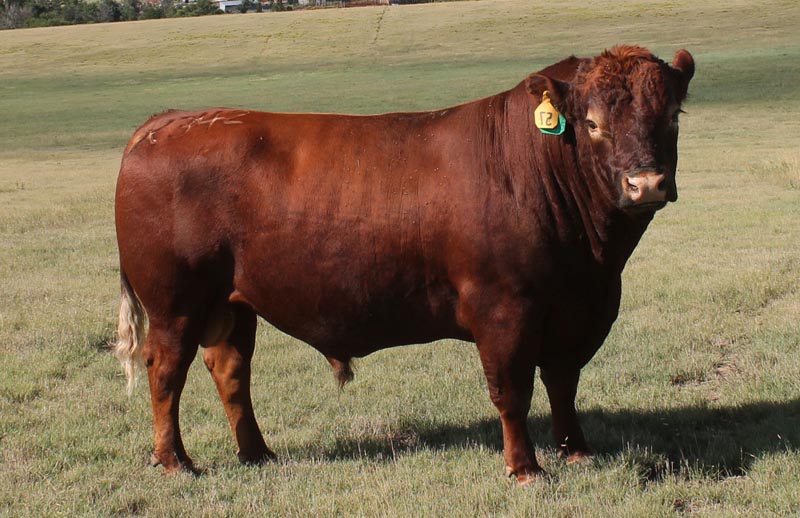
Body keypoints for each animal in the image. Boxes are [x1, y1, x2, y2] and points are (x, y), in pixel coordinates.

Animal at [114, 45, 694, 483]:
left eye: (671, 116)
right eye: (593, 124)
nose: (646, 183)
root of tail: (166, 122)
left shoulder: (577, 311)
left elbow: (563, 382)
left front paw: (576, 449)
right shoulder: (504, 309)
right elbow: (512, 390)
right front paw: (525, 468)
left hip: (232, 303)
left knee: (231, 370)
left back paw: (257, 453)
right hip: (174, 303)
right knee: (165, 370)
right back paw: (175, 461)